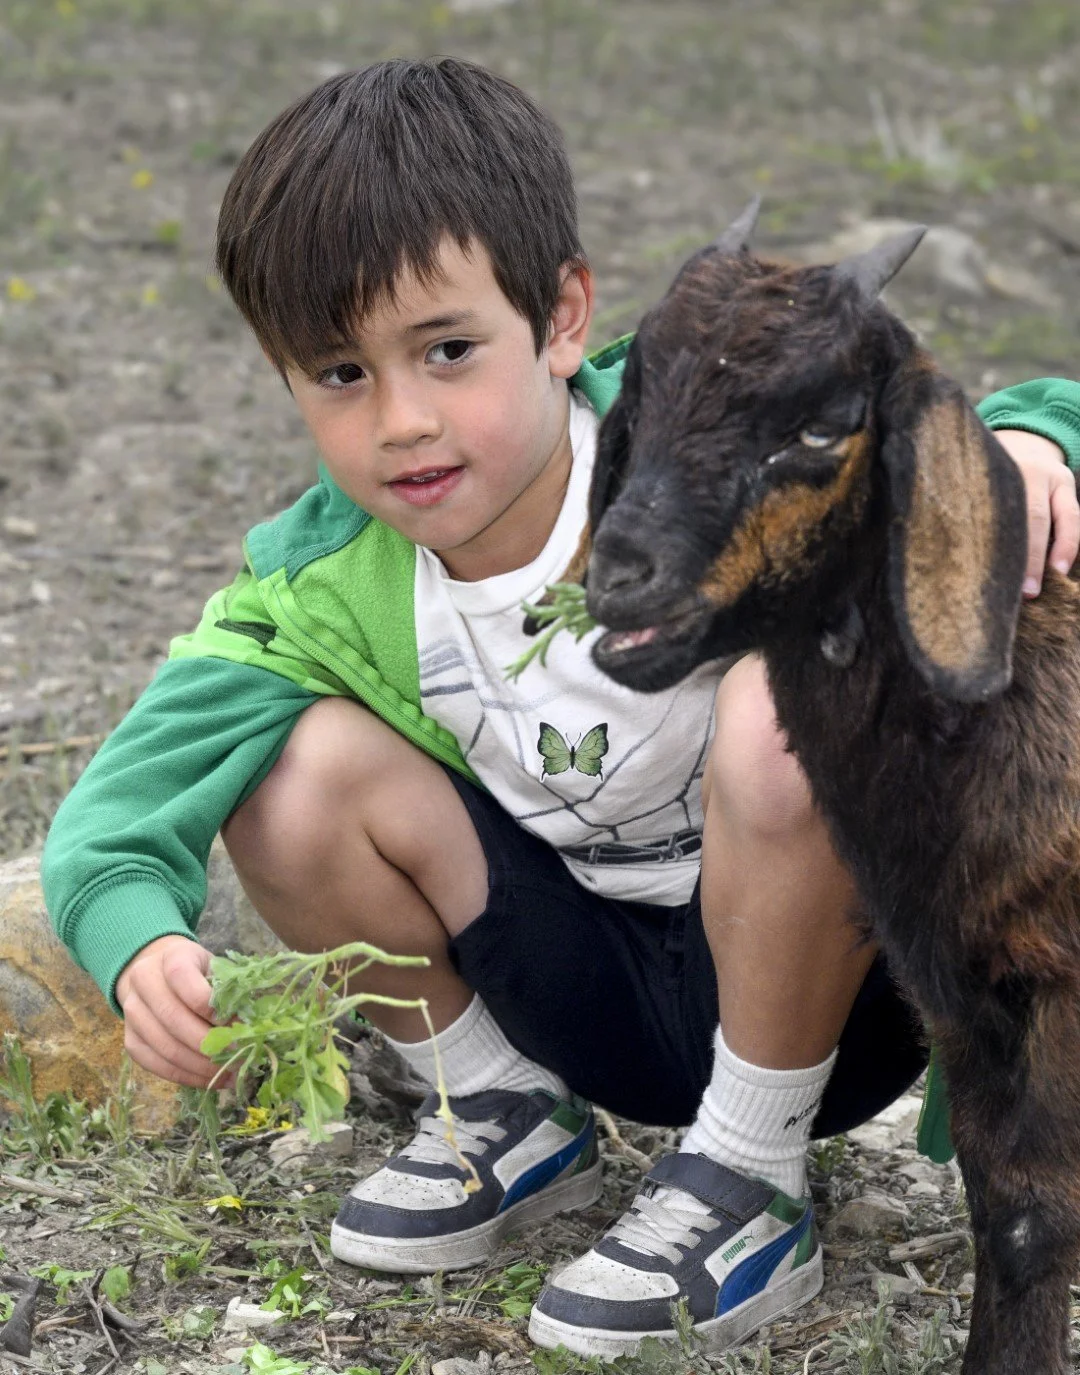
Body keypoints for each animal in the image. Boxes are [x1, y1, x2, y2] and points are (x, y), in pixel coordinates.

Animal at [581, 201, 1080, 1375]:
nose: (620, 576)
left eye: (822, 427)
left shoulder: (1055, 993)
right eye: (643, 389)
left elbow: (1039, 1213)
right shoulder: (962, 994)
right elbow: (1008, 1208)